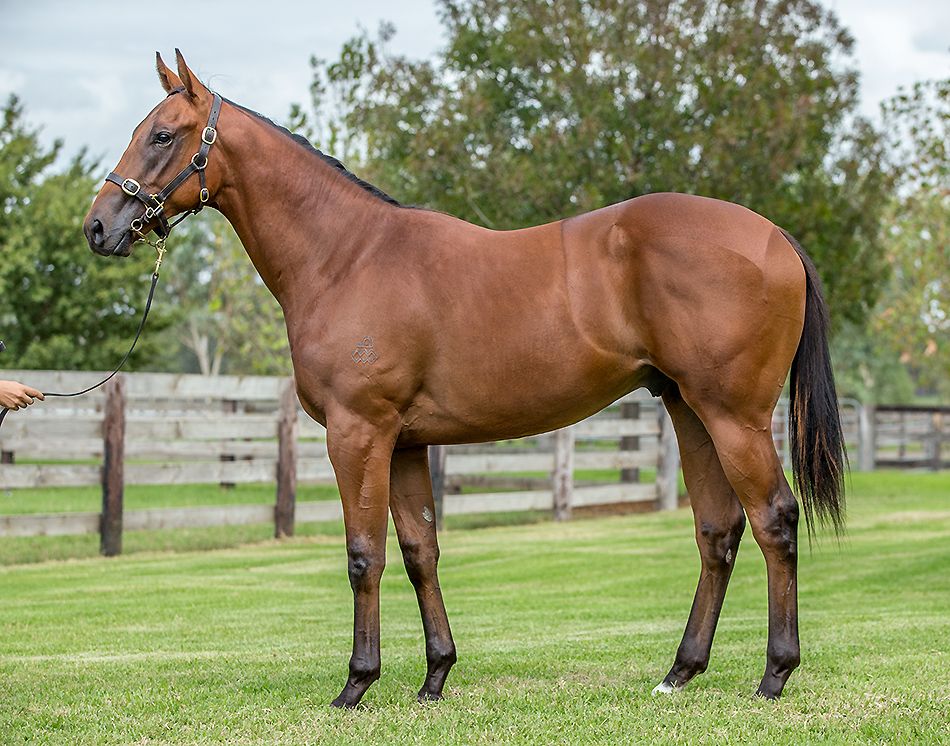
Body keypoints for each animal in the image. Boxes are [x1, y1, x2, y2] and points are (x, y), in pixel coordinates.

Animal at [83, 50, 846, 708]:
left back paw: (775, 674)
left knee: (774, 520)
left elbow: (364, 555)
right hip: (689, 410)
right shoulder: (405, 443)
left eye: (161, 134)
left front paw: (357, 684)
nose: (97, 227)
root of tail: (775, 236)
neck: (347, 255)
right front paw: (435, 676)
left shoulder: (358, 434)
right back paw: (679, 672)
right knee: (718, 530)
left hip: (733, 417)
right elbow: (420, 550)